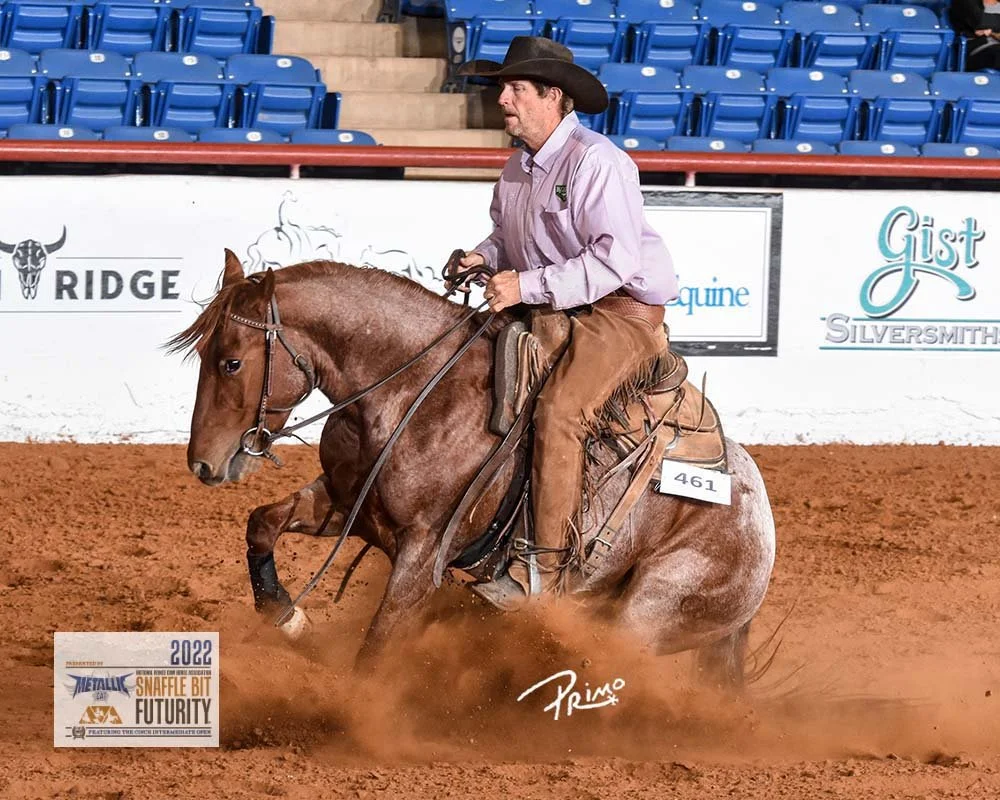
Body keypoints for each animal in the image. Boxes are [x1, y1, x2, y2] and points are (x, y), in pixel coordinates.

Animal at [170, 250, 776, 686]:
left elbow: (378, 645)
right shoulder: (349, 506)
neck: (412, 392)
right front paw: (286, 614)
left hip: (652, 607)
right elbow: (262, 524)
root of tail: (761, 517)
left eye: (232, 361)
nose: (203, 462)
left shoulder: (423, 553)